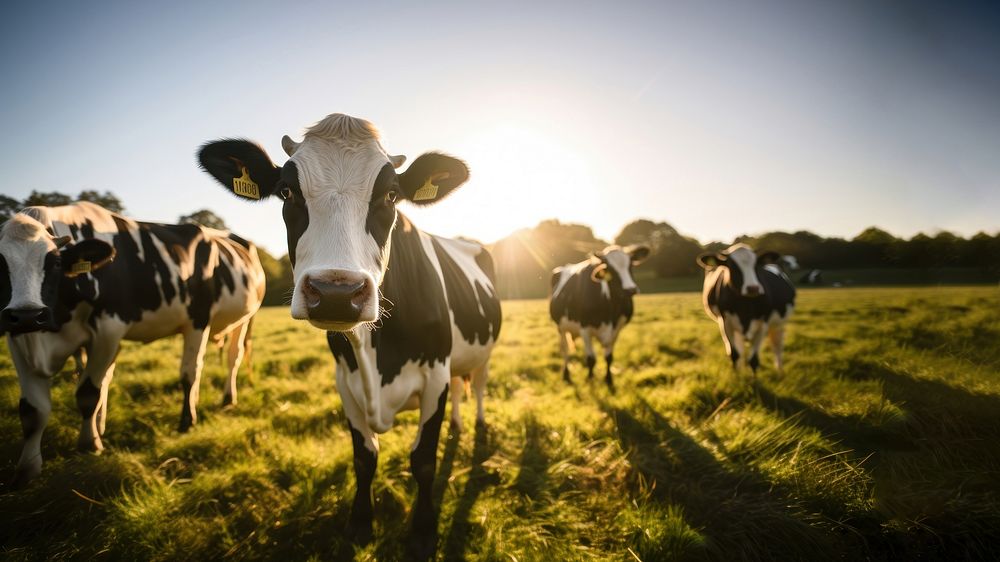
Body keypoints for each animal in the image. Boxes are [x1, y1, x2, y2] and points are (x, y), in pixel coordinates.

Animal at [0, 202, 265, 487]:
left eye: (56, 262)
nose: (27, 314)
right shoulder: (19, 339)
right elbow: (33, 411)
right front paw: (27, 470)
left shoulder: (108, 329)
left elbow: (88, 393)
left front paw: (89, 444)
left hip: (223, 320)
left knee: (214, 363)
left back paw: (213, 407)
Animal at [197, 113, 501, 557]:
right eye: (286, 191)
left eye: (391, 195)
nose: (336, 292)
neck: (377, 358)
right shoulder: (346, 380)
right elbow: (365, 457)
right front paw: (359, 523)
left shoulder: (435, 377)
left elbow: (423, 459)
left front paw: (423, 531)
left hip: (481, 354)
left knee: (475, 385)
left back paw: (476, 425)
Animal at [549, 244, 649, 392]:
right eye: (610, 268)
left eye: (630, 264)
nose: (630, 289)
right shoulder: (585, 329)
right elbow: (591, 359)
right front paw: (590, 380)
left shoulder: (617, 329)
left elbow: (609, 357)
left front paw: (609, 380)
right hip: (560, 327)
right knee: (565, 350)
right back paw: (566, 375)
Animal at [697, 243, 795, 373]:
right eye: (732, 266)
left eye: (756, 265)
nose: (753, 288)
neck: (745, 307)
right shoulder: (725, 322)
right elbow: (734, 354)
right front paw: (737, 376)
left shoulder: (763, 324)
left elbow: (754, 360)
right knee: (741, 350)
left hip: (779, 324)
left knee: (777, 346)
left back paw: (780, 371)